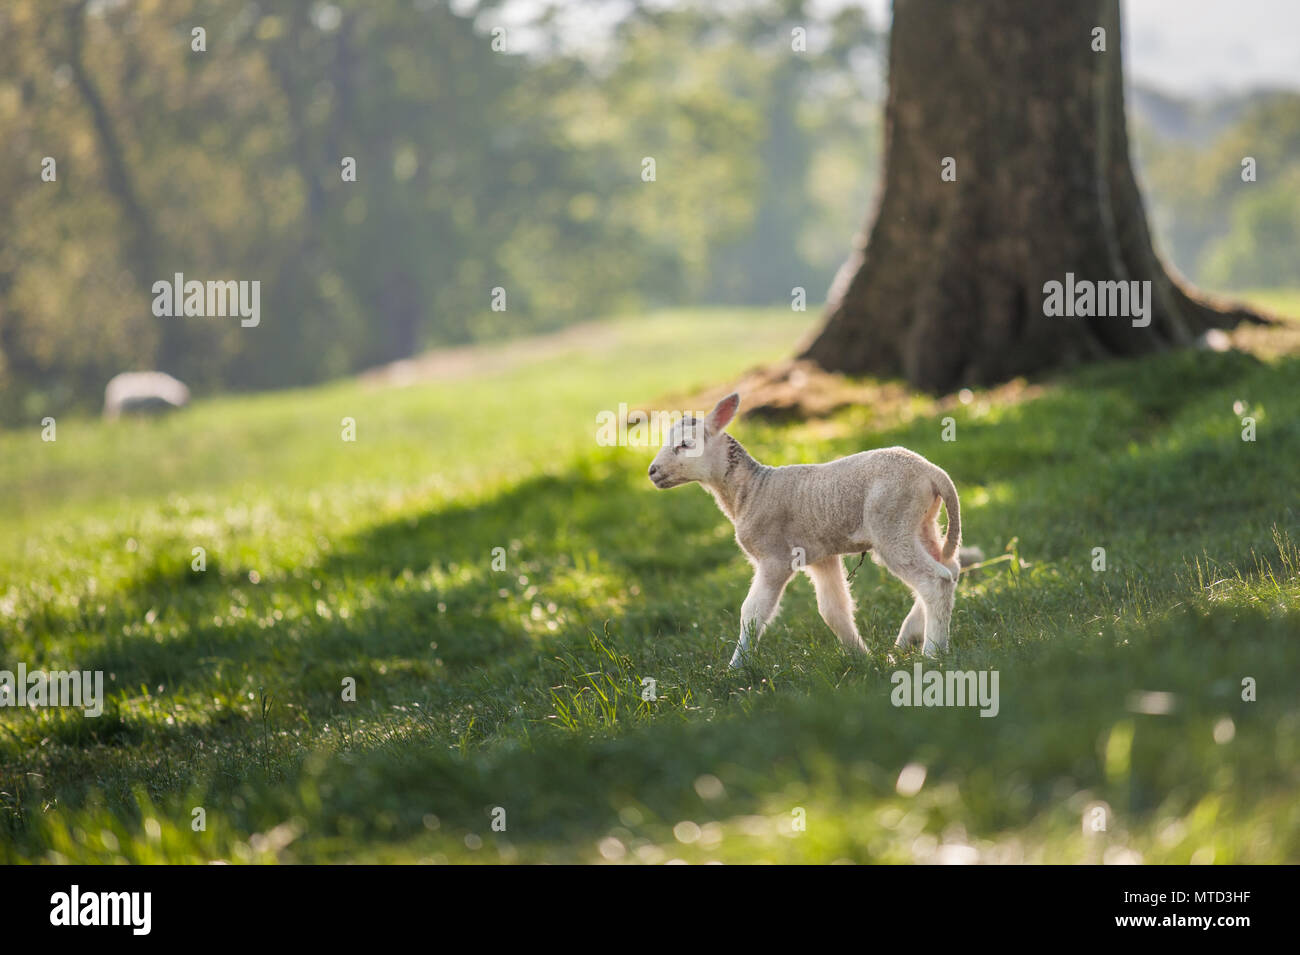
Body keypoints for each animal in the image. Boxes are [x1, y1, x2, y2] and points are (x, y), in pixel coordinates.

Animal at [647, 392, 963, 667]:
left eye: (686, 444)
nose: (652, 471)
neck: (750, 491)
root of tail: (932, 472)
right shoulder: (821, 555)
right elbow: (833, 610)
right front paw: (861, 656)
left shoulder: (774, 556)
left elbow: (751, 612)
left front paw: (736, 667)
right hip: (921, 522)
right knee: (950, 569)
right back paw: (907, 638)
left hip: (891, 523)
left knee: (935, 580)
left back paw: (932, 652)